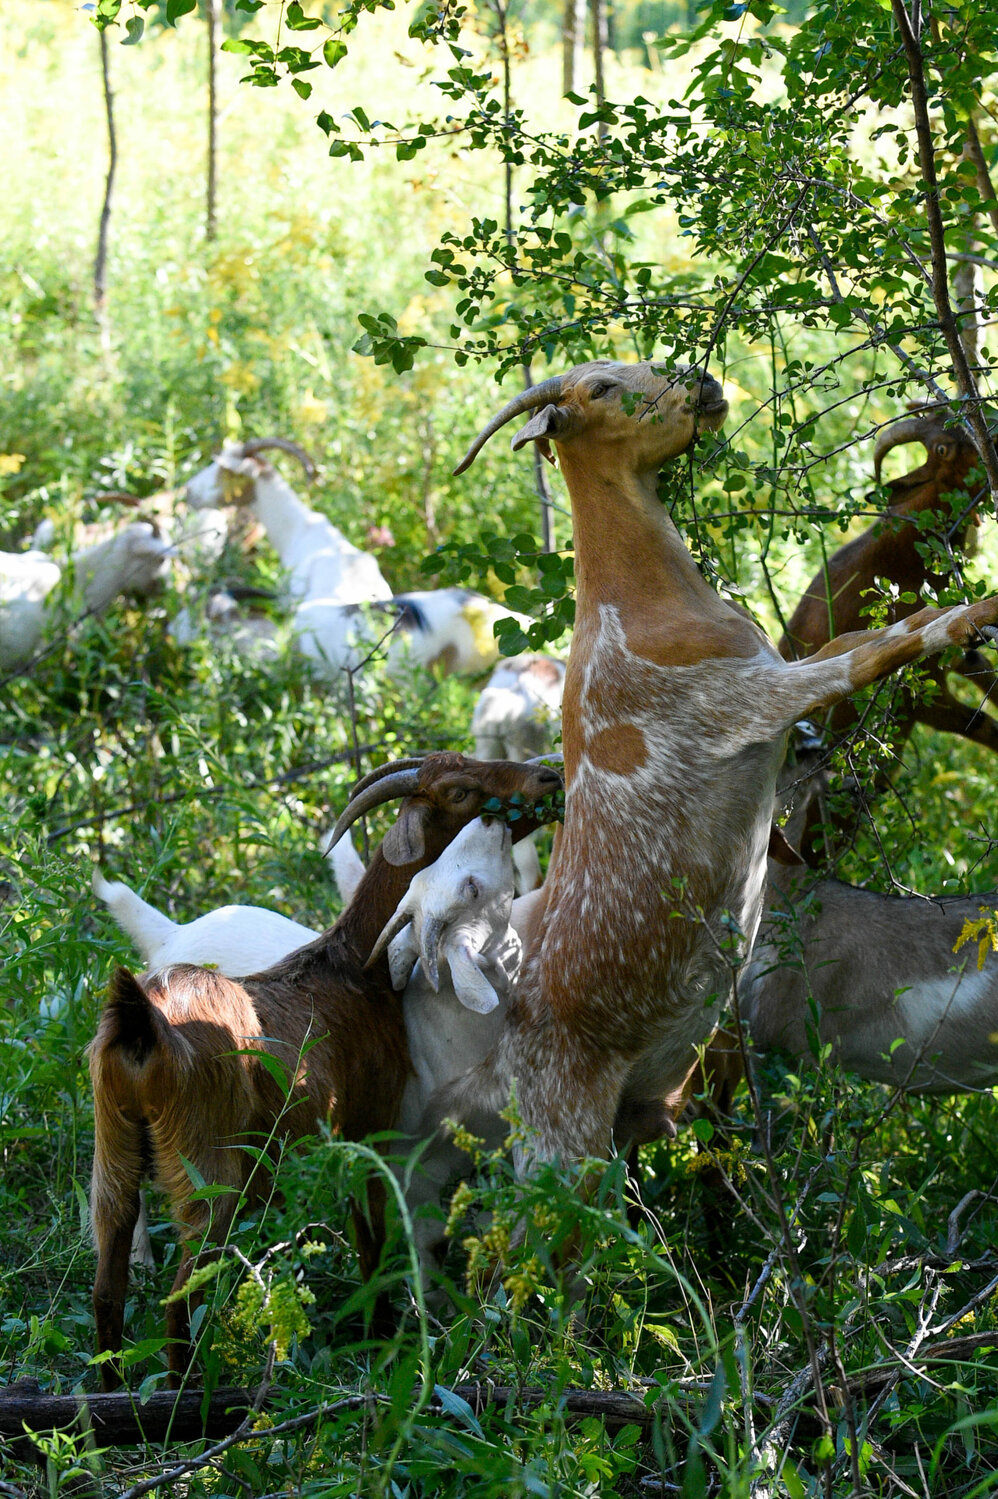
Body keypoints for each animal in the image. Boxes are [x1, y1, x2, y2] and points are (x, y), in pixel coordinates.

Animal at [88, 751, 562, 1387]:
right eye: (461, 791)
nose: (549, 777)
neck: (355, 969)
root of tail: (141, 1018)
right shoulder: (370, 1130)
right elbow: (374, 1238)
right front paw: (380, 1336)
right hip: (206, 1169)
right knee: (179, 1294)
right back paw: (186, 1392)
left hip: (114, 1151)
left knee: (107, 1283)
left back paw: (113, 1395)